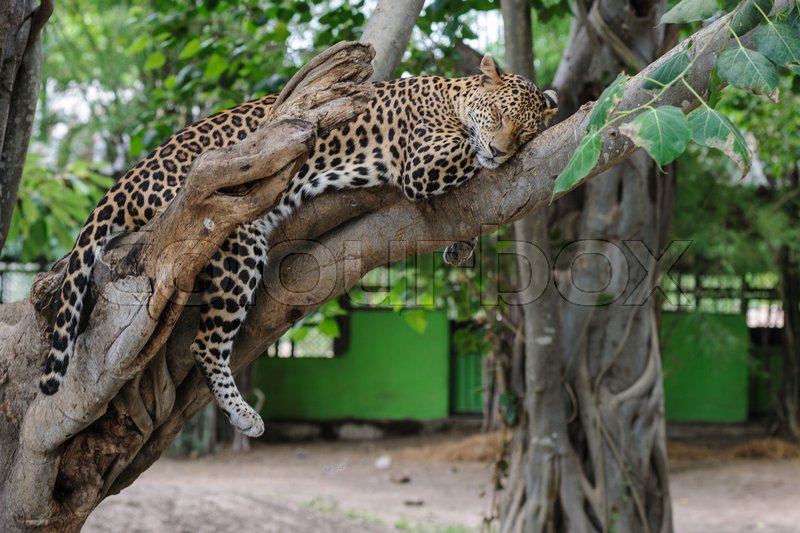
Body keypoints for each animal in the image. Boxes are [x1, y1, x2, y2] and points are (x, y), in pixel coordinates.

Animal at [38, 55, 557, 437]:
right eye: (499, 117)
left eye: (524, 133)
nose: (503, 151)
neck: (453, 95)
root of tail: (131, 174)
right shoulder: (421, 162)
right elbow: (467, 156)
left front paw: (461, 245)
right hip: (232, 236)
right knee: (207, 343)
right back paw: (243, 414)